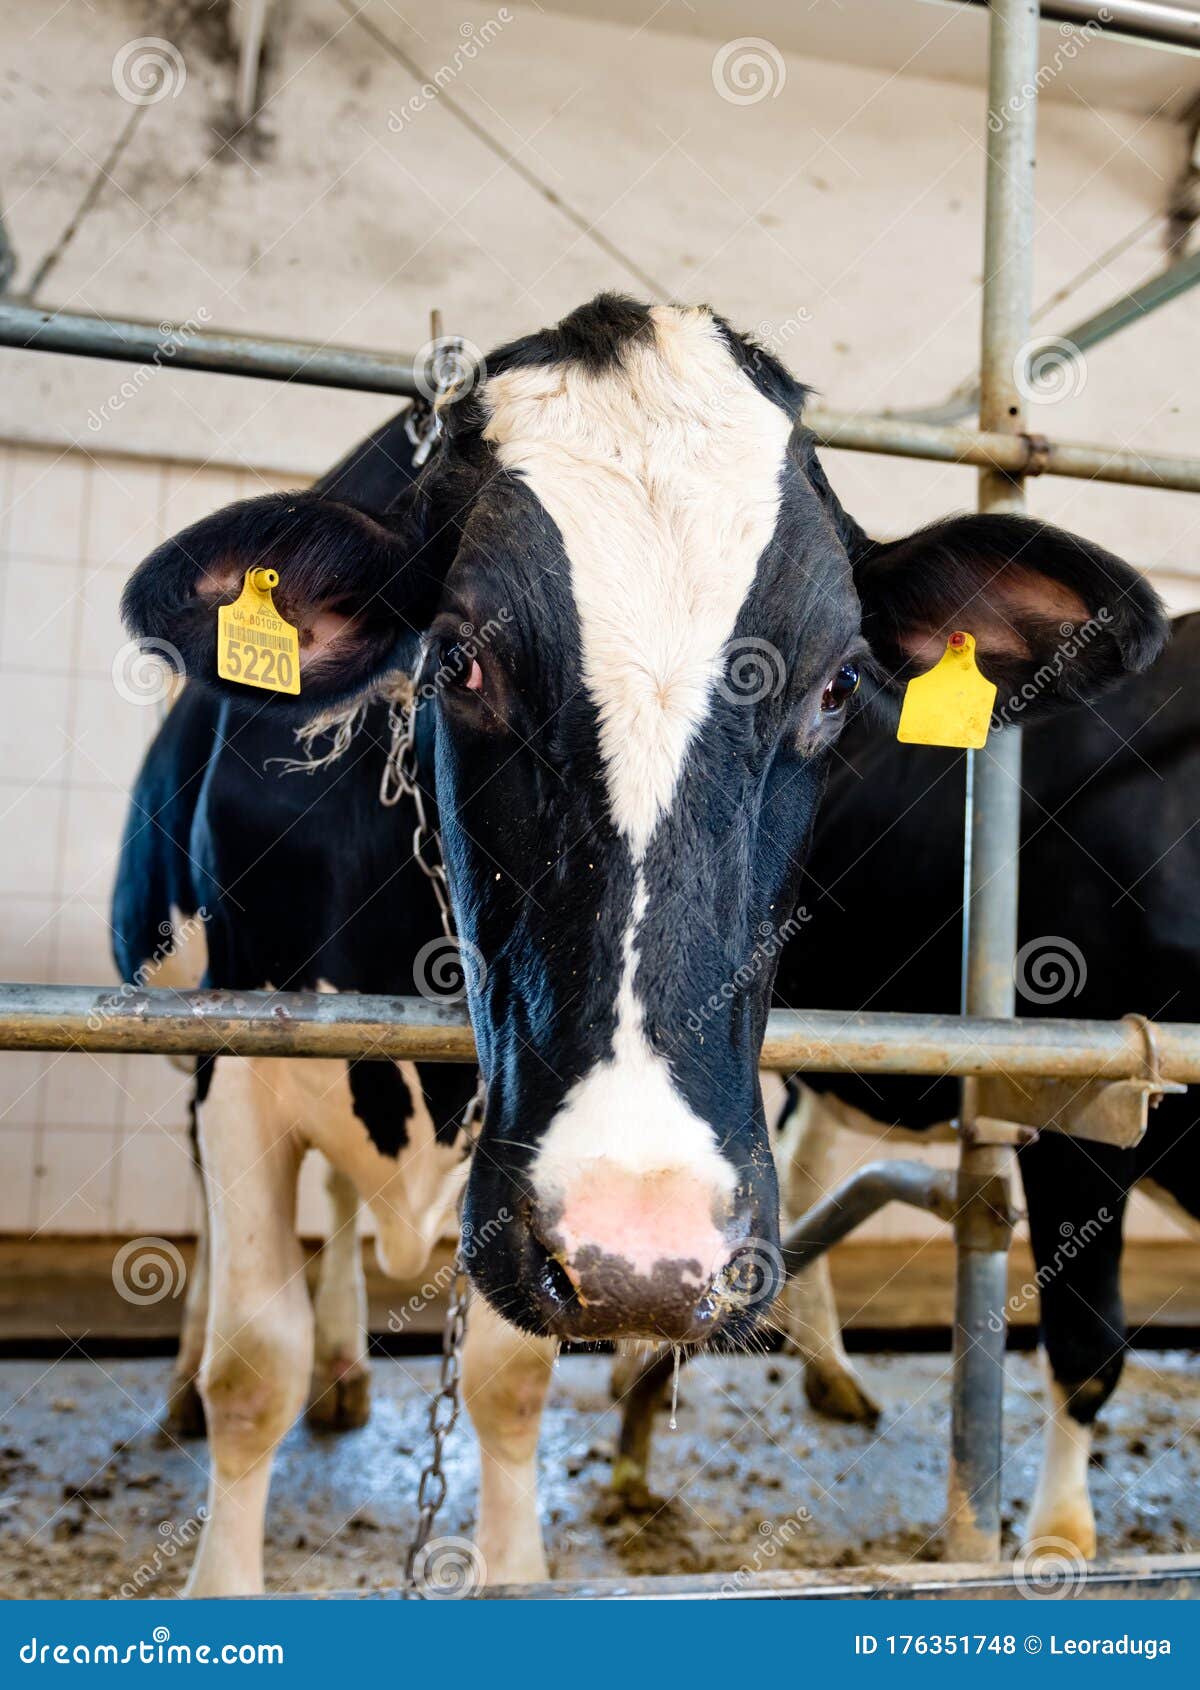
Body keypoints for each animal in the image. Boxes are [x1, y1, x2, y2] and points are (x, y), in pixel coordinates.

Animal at [115, 294, 1167, 1594]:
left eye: (838, 686)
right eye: (458, 656)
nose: (643, 1252)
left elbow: (508, 1379)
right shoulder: (242, 1061)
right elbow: (253, 1367)